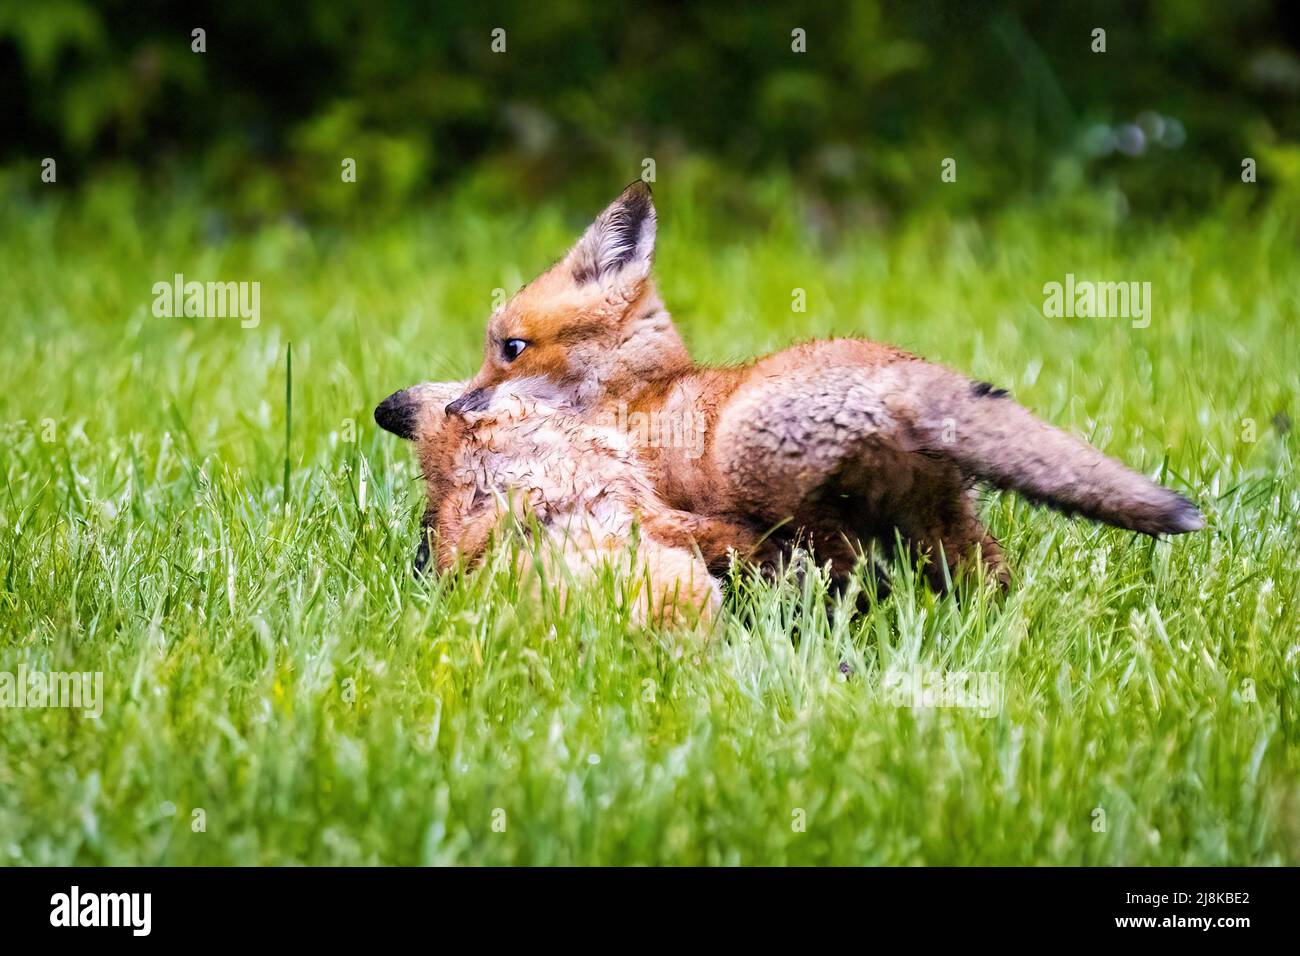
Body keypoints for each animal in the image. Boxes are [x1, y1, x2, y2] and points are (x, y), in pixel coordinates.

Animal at [429, 182, 1204, 591]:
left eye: (510, 349)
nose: (454, 407)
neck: (635, 395)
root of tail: (896, 373)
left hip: (773, 488)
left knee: (841, 568)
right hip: (939, 525)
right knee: (985, 580)